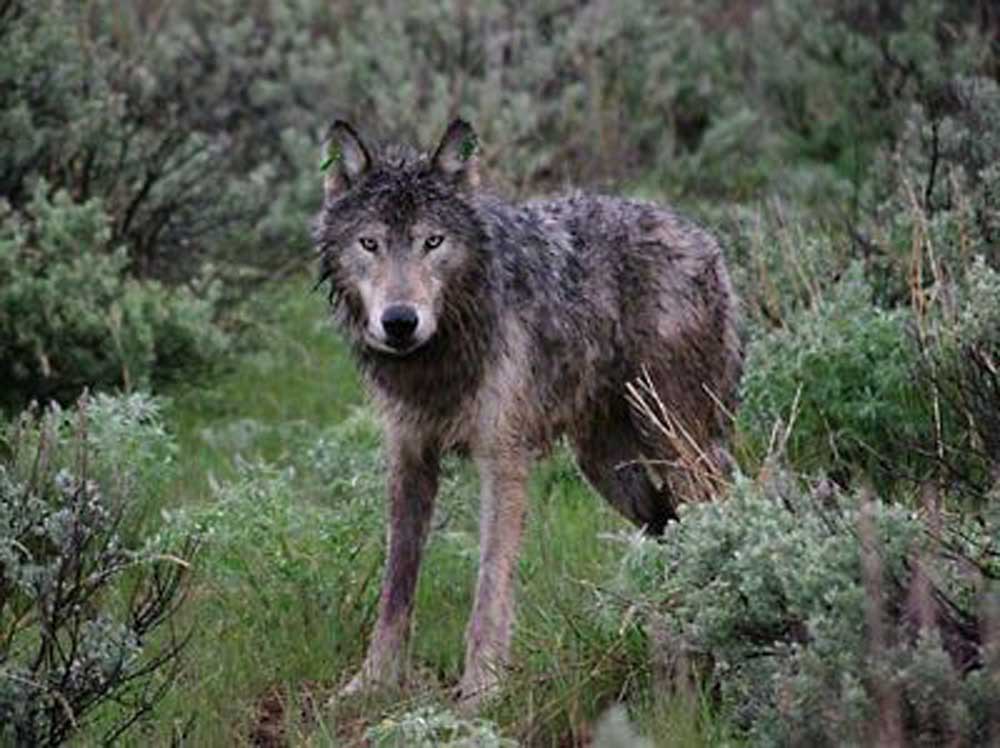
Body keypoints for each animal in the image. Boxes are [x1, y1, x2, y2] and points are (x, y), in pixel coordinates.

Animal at [312, 119, 742, 705]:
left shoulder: (503, 460)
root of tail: (704, 237)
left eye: (432, 241)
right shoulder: (409, 457)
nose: (400, 321)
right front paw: (371, 684)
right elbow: (395, 589)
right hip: (614, 472)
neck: (442, 357)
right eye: (370, 243)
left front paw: (480, 692)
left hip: (675, 449)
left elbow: (491, 587)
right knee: (670, 528)